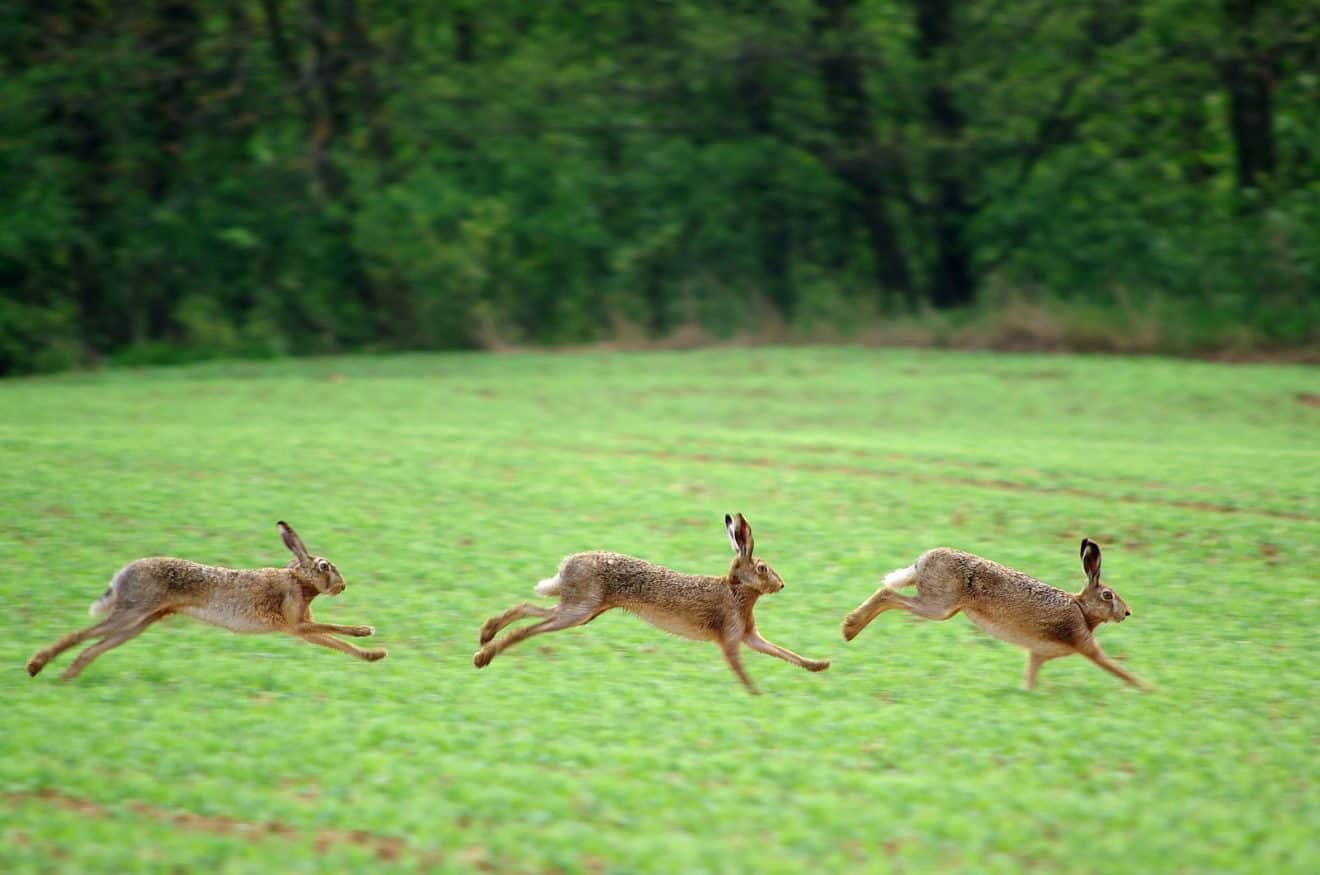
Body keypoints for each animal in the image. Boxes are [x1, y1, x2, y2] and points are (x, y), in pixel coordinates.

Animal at [26, 521, 385, 681]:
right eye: (324, 567)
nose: (342, 586)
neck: (297, 580)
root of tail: (121, 575)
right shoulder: (296, 624)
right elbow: (336, 630)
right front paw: (367, 630)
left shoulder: (301, 628)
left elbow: (337, 644)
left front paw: (375, 655)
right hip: (133, 612)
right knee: (80, 636)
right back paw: (36, 667)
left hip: (139, 622)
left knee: (93, 648)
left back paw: (64, 680)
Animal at [473, 513, 830, 694]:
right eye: (762, 568)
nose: (781, 584)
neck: (736, 590)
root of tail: (567, 565)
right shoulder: (730, 638)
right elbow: (740, 666)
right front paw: (756, 694)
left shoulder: (749, 636)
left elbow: (782, 652)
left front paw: (820, 665)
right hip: (580, 609)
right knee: (532, 626)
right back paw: (483, 656)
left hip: (584, 610)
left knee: (529, 608)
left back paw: (485, 635)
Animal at [842, 538, 1149, 691]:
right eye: (1108, 595)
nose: (1127, 613)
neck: (1082, 610)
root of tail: (921, 562)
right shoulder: (1085, 644)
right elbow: (1115, 668)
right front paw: (1150, 691)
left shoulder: (1038, 653)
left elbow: (1031, 674)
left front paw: (1027, 693)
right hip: (939, 606)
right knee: (887, 595)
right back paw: (849, 628)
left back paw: (849, 628)